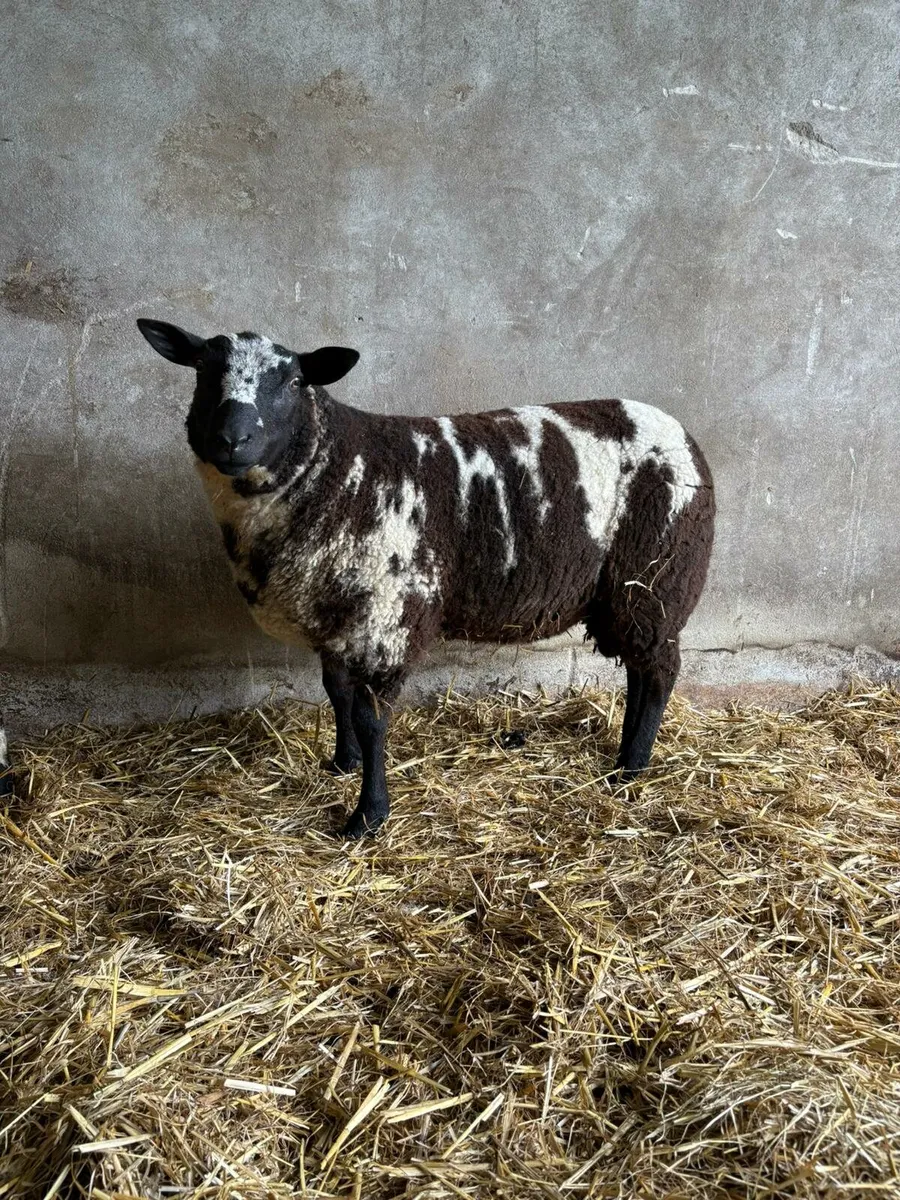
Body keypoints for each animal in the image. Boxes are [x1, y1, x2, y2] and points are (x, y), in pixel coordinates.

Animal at [138, 319, 715, 838]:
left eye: (294, 380)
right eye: (202, 371)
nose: (232, 439)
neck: (337, 467)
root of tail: (684, 434)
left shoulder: (387, 614)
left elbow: (371, 718)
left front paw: (367, 816)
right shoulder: (338, 613)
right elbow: (336, 693)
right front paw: (341, 763)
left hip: (654, 578)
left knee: (658, 672)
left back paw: (631, 768)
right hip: (633, 594)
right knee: (641, 669)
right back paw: (625, 755)